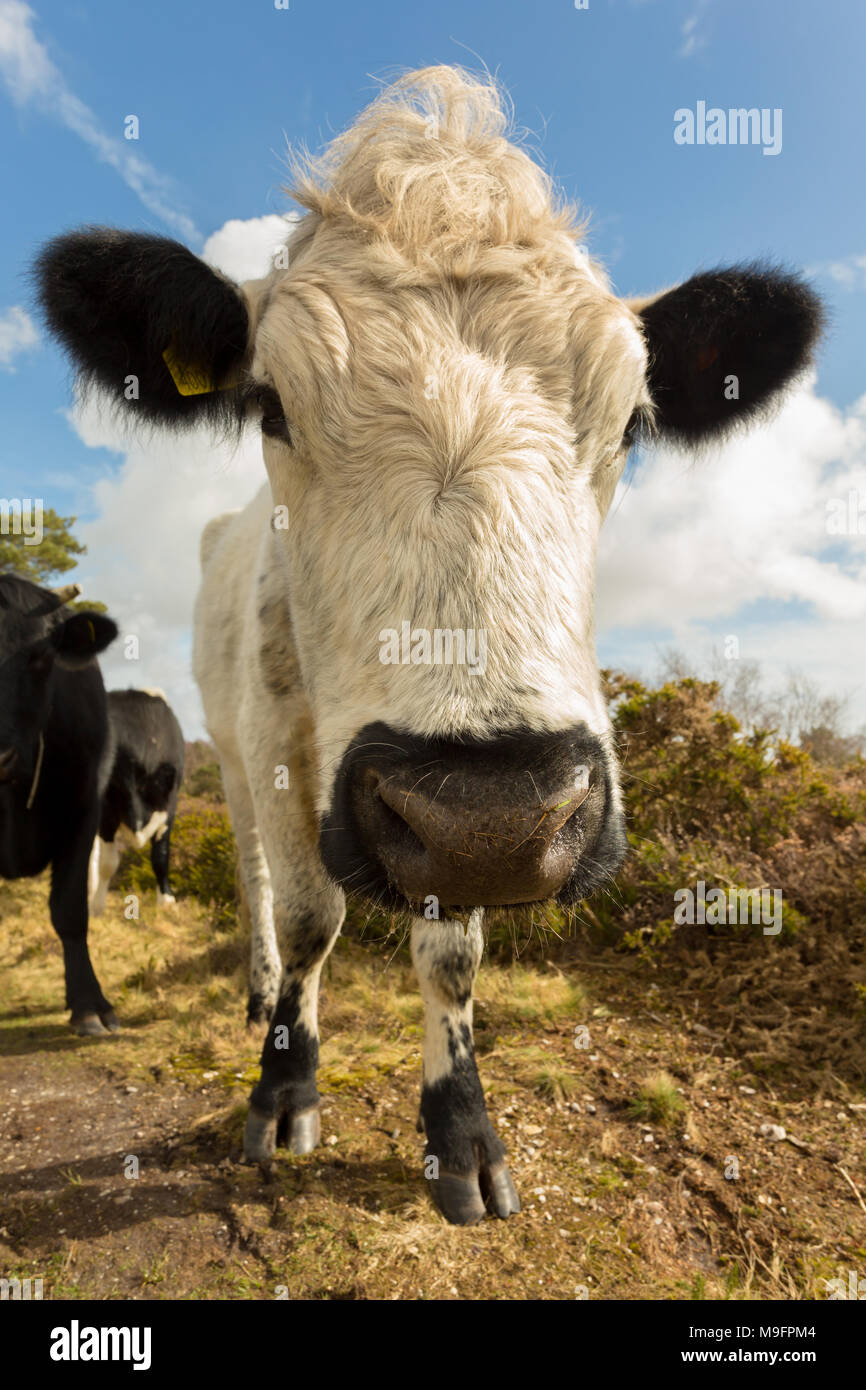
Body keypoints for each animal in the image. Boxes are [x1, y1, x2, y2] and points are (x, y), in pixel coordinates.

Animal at [88, 688, 185, 916]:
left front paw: (166, 900)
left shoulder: (169, 808)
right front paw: (97, 905)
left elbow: (161, 857)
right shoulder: (107, 812)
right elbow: (108, 863)